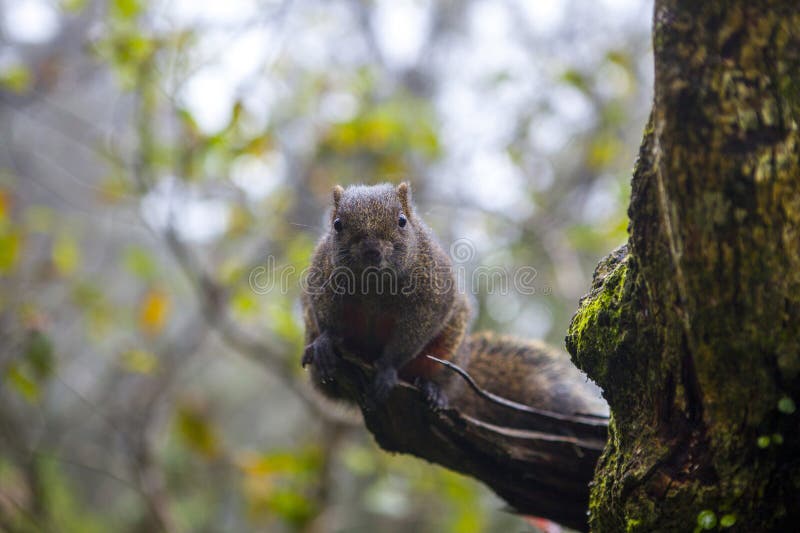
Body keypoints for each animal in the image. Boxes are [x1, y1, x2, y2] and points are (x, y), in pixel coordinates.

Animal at [301, 182, 606, 423]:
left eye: (402, 220)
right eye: (337, 224)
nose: (371, 250)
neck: (375, 283)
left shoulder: (431, 299)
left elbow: (411, 337)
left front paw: (387, 369)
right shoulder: (322, 282)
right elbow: (325, 317)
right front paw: (326, 344)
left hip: (448, 350)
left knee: (441, 378)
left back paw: (434, 390)